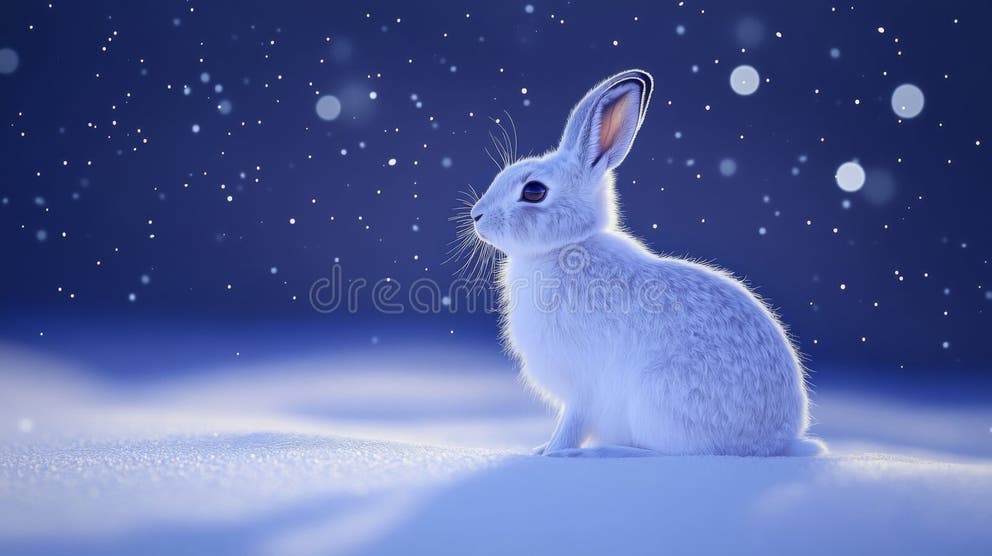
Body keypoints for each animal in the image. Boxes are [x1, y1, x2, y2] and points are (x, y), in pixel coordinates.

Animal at [469, 69, 825, 457]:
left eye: (534, 191)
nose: (477, 216)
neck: (567, 246)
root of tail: (776, 442)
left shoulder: (583, 388)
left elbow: (571, 423)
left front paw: (554, 453)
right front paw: (539, 451)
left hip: (657, 399)